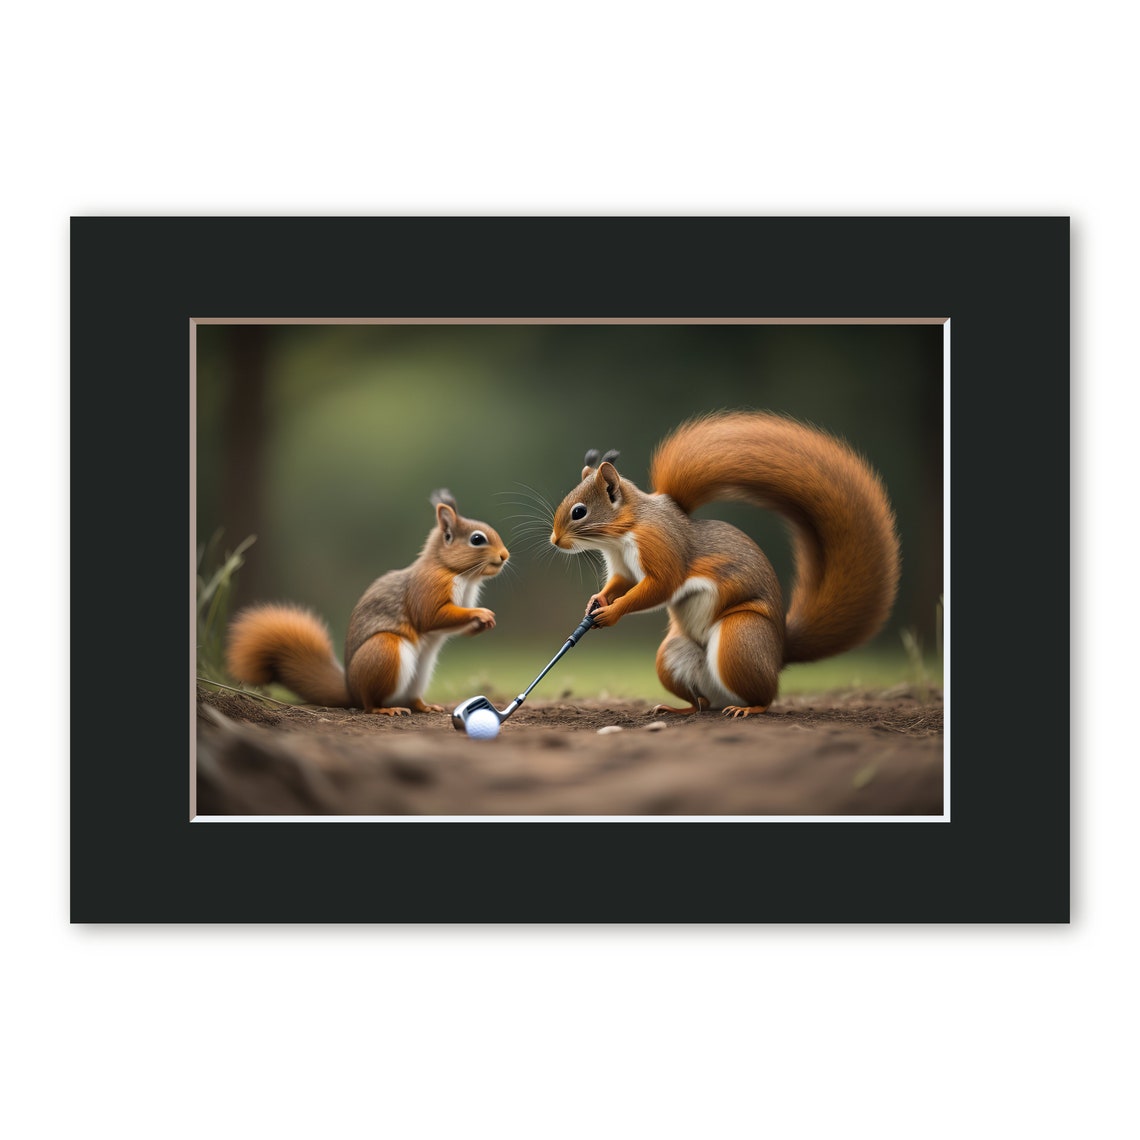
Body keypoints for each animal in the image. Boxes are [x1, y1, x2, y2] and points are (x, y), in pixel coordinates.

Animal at [224, 490, 510, 715]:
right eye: (477, 539)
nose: (505, 555)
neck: (459, 574)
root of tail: (350, 689)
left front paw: (484, 622)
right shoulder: (427, 588)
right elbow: (430, 616)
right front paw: (481, 613)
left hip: (421, 673)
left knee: (411, 697)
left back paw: (425, 706)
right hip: (385, 651)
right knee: (369, 702)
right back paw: (385, 709)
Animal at [549, 410, 901, 718]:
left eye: (579, 512)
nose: (554, 540)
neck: (623, 533)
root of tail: (778, 653)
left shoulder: (660, 547)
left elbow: (661, 586)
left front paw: (611, 612)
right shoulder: (622, 566)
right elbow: (622, 583)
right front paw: (597, 600)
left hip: (740, 638)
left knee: (765, 696)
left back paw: (749, 708)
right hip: (672, 657)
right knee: (702, 702)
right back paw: (680, 708)